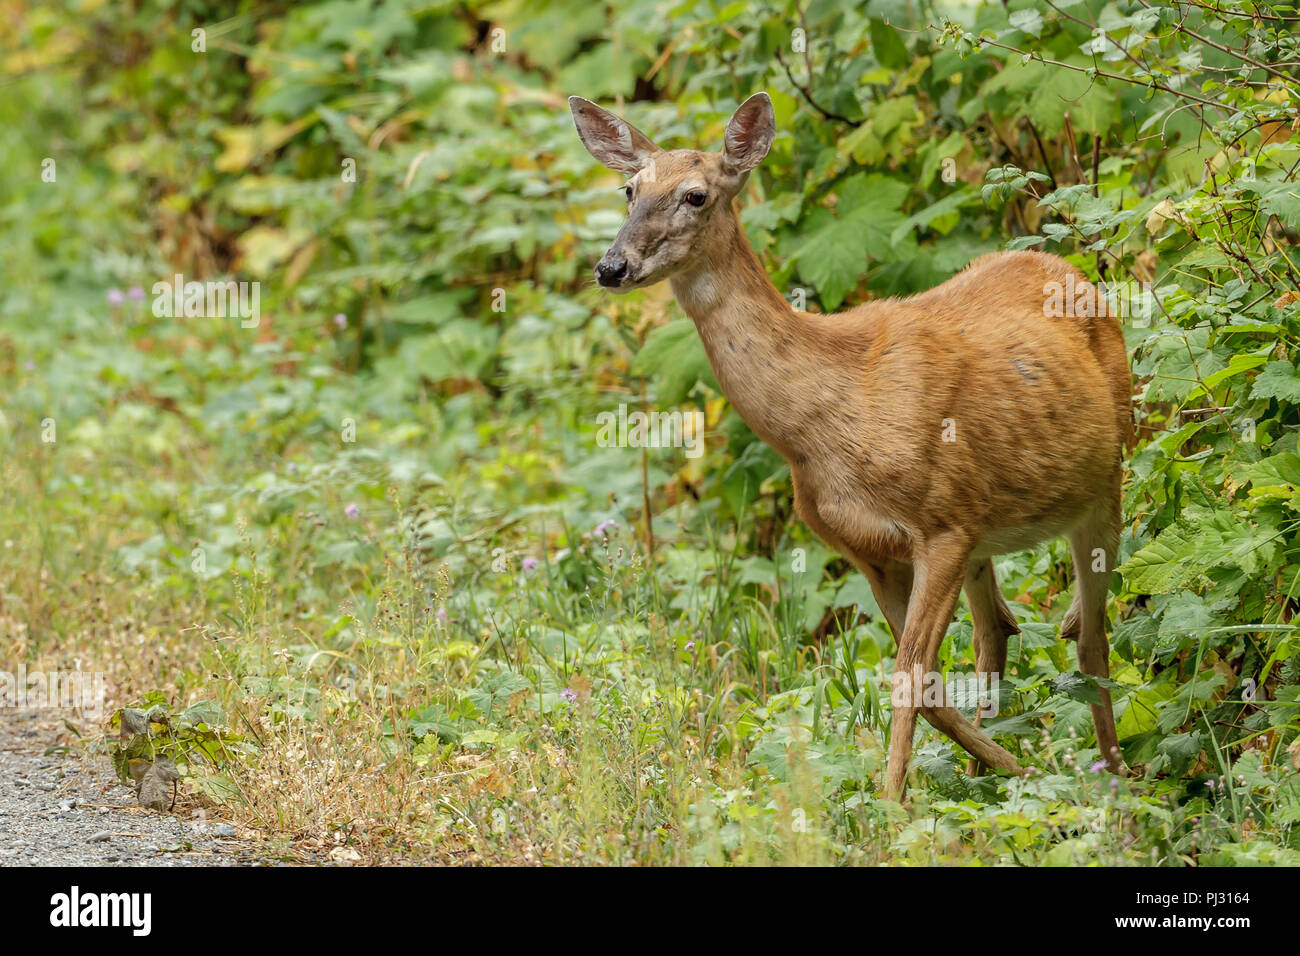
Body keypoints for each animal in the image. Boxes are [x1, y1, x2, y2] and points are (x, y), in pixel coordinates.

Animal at [569, 92, 1133, 800]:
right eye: (629, 189)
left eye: (695, 195)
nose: (610, 267)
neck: (824, 423)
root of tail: (1070, 271)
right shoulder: (871, 550)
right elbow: (929, 686)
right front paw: (1004, 771)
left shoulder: (943, 523)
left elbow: (908, 678)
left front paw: (894, 807)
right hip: (990, 527)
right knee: (999, 627)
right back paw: (998, 771)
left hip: (1104, 479)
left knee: (1089, 635)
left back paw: (1115, 775)